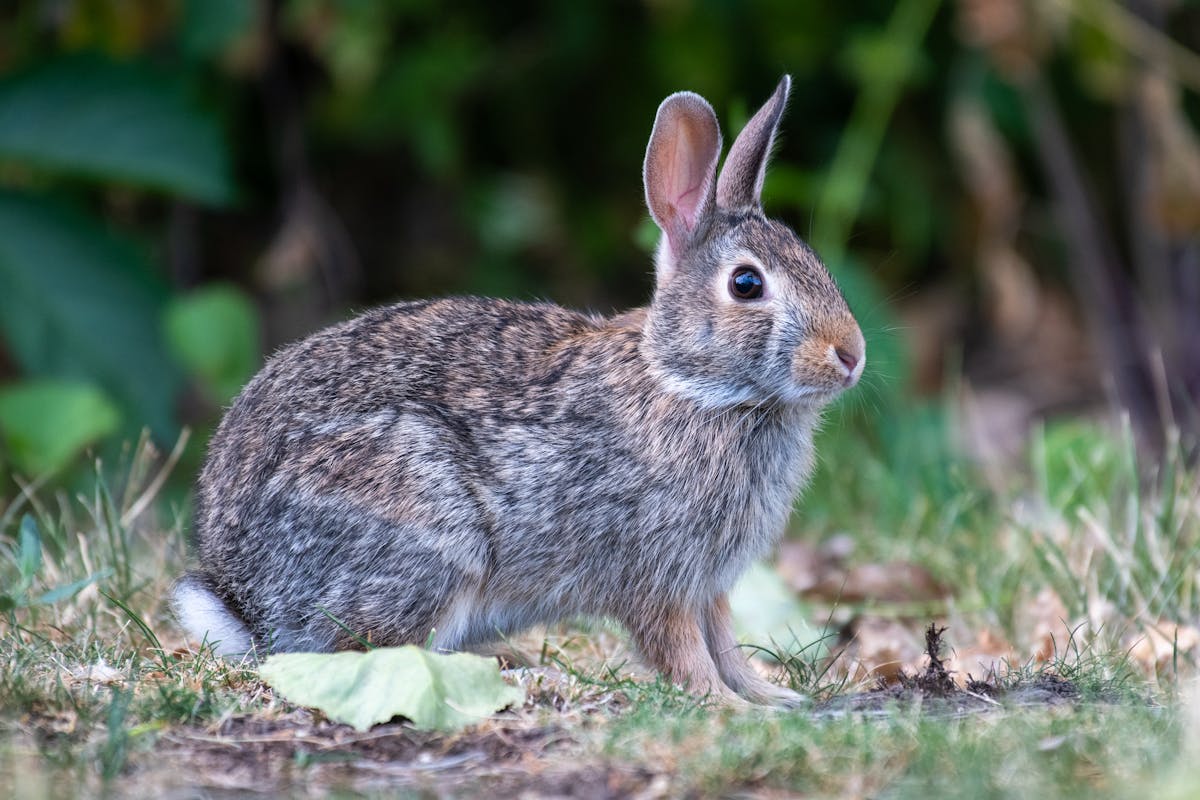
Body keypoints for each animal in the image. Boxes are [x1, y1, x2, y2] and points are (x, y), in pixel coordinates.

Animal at [171, 75, 865, 707]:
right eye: (747, 284)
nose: (852, 355)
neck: (694, 386)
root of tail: (244, 599)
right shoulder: (656, 572)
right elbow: (682, 649)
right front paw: (724, 705)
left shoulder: (710, 582)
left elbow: (723, 641)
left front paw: (771, 696)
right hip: (426, 529)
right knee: (372, 649)